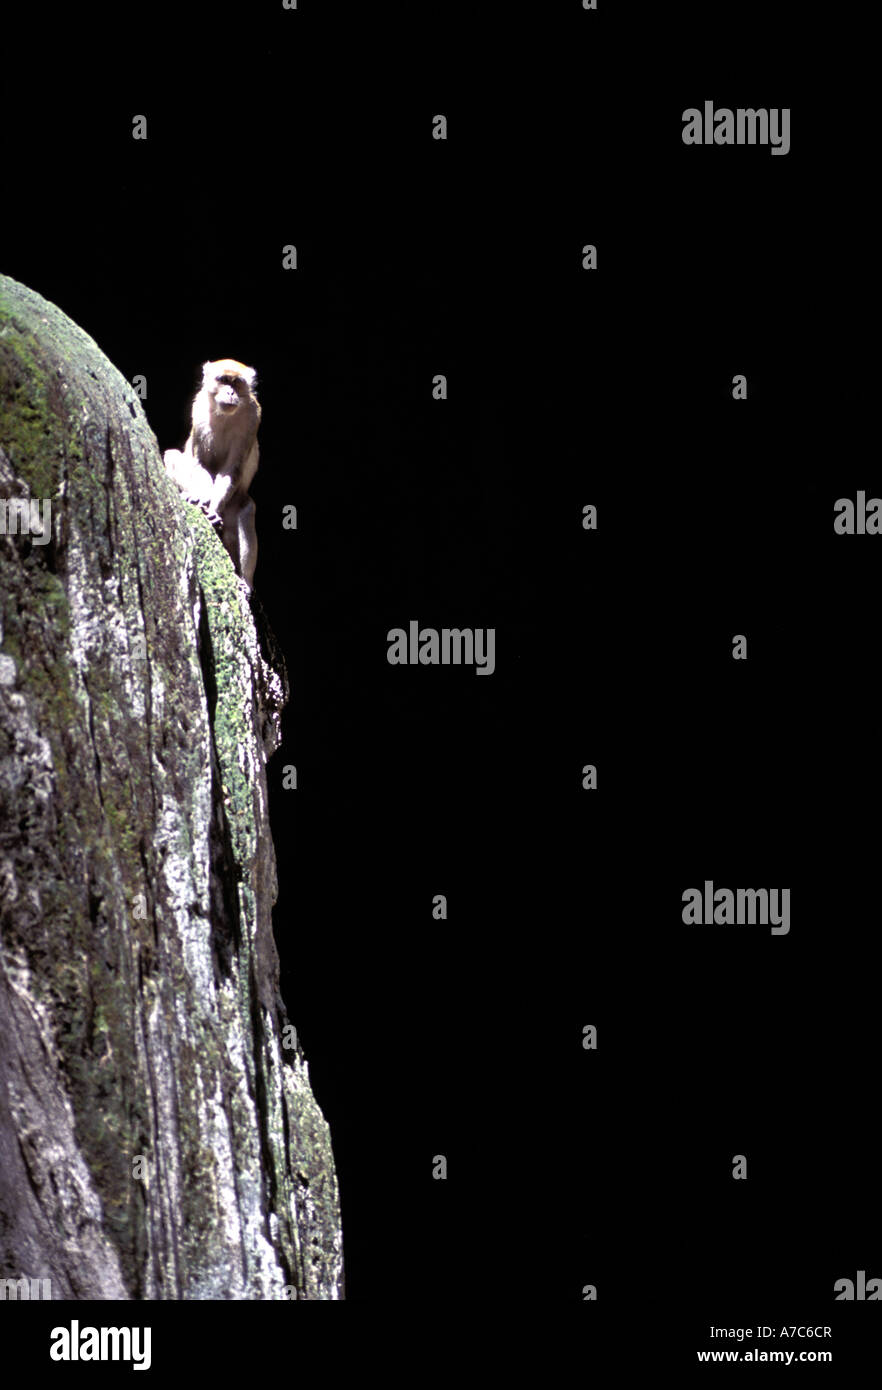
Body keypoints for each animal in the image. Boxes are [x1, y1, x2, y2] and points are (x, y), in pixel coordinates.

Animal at [164, 359, 261, 590]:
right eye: (223, 379)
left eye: (237, 382)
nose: (230, 392)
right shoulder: (198, 410)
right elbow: (201, 463)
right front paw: (203, 501)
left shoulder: (253, 418)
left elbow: (231, 471)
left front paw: (213, 510)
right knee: (171, 456)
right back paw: (192, 496)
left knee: (246, 510)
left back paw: (245, 582)